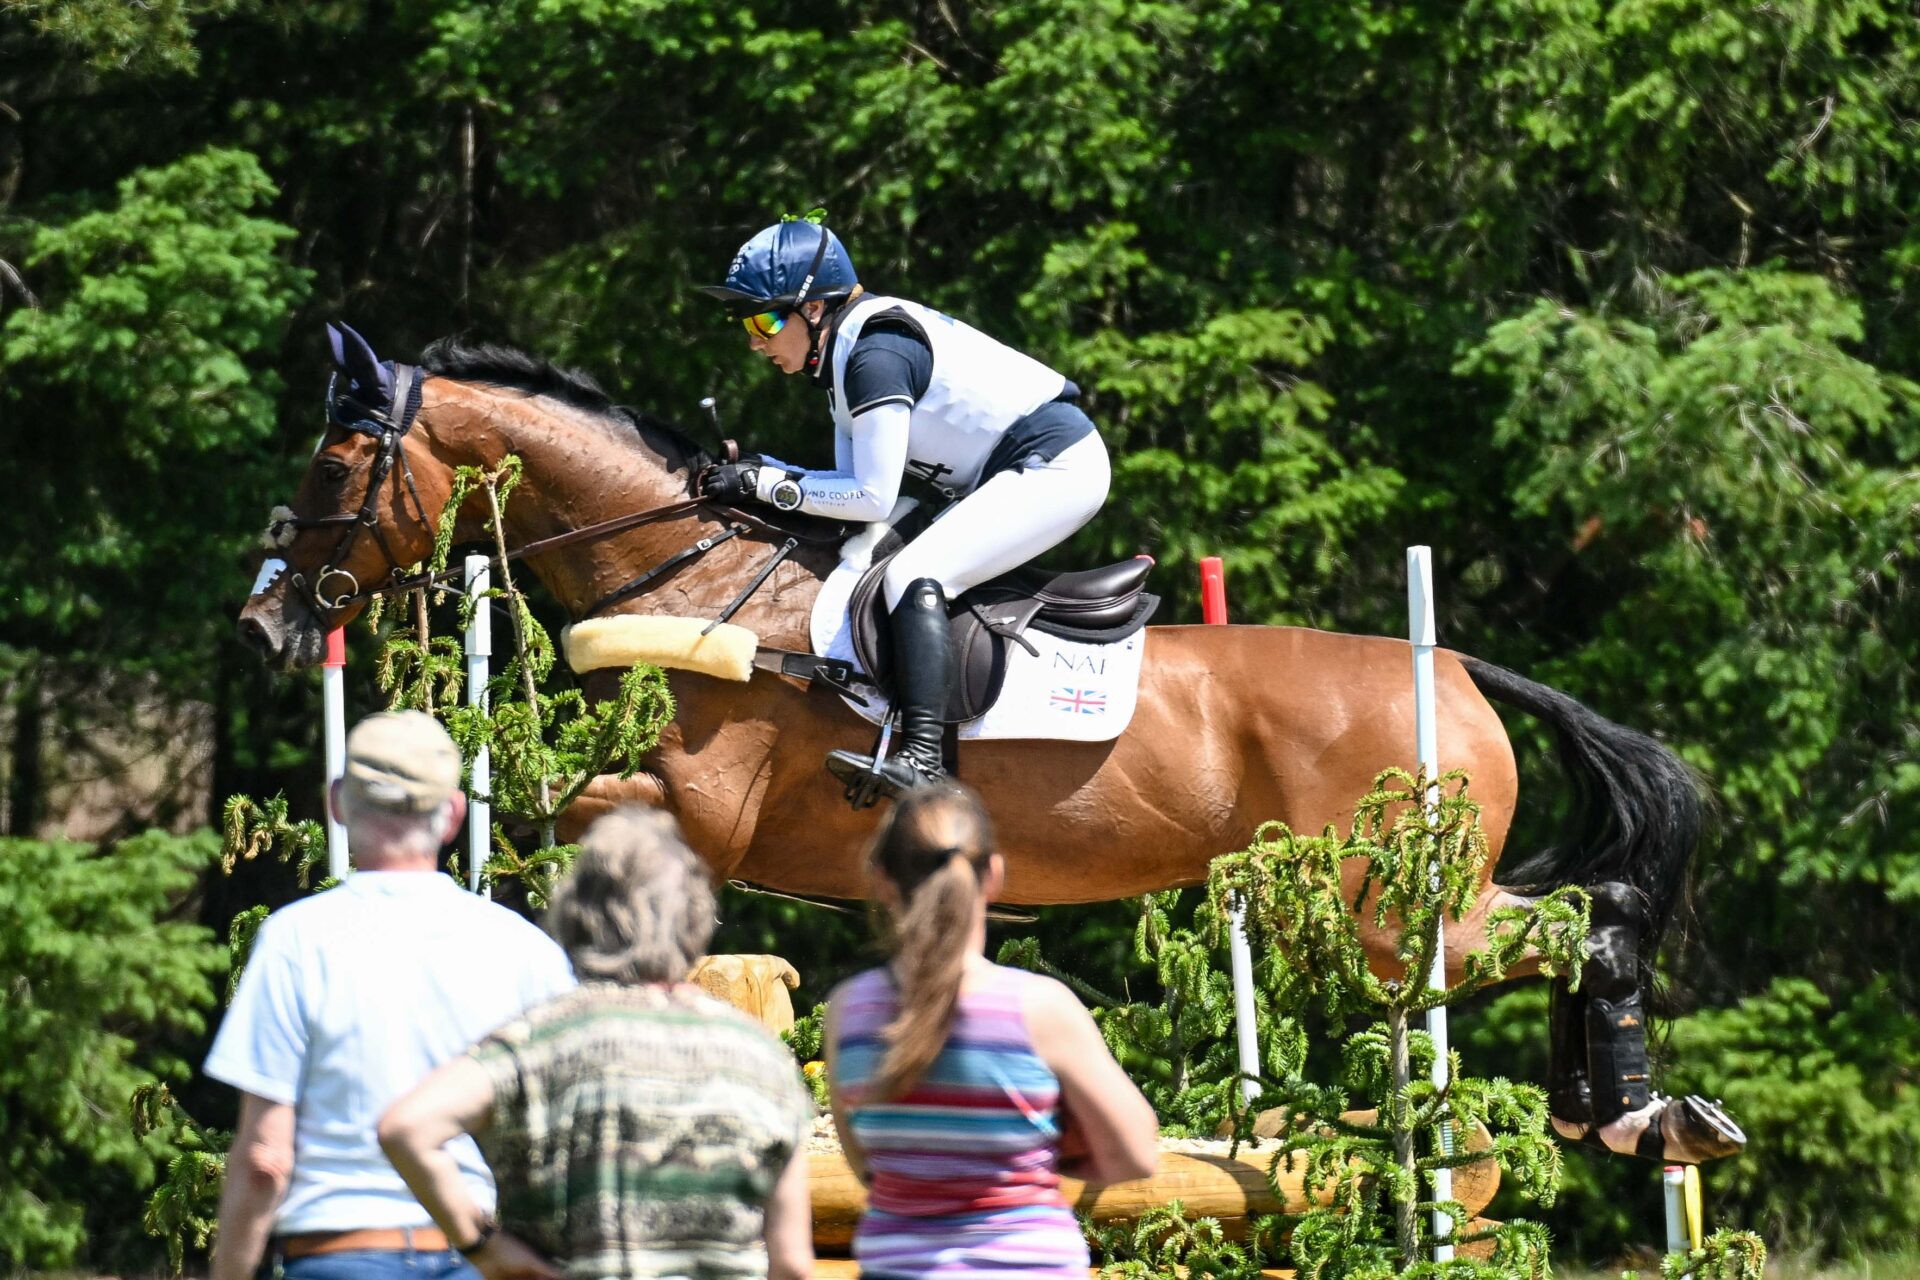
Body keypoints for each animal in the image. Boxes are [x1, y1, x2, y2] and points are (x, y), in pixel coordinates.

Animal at [237, 329, 1743, 1162]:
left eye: (333, 466)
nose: (265, 622)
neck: (697, 575)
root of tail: (1456, 670)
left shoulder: (692, 806)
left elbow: (552, 821)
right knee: (1576, 918)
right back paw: (1615, 1111)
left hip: (1383, 905)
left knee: (1588, 920)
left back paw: (1629, 1113)